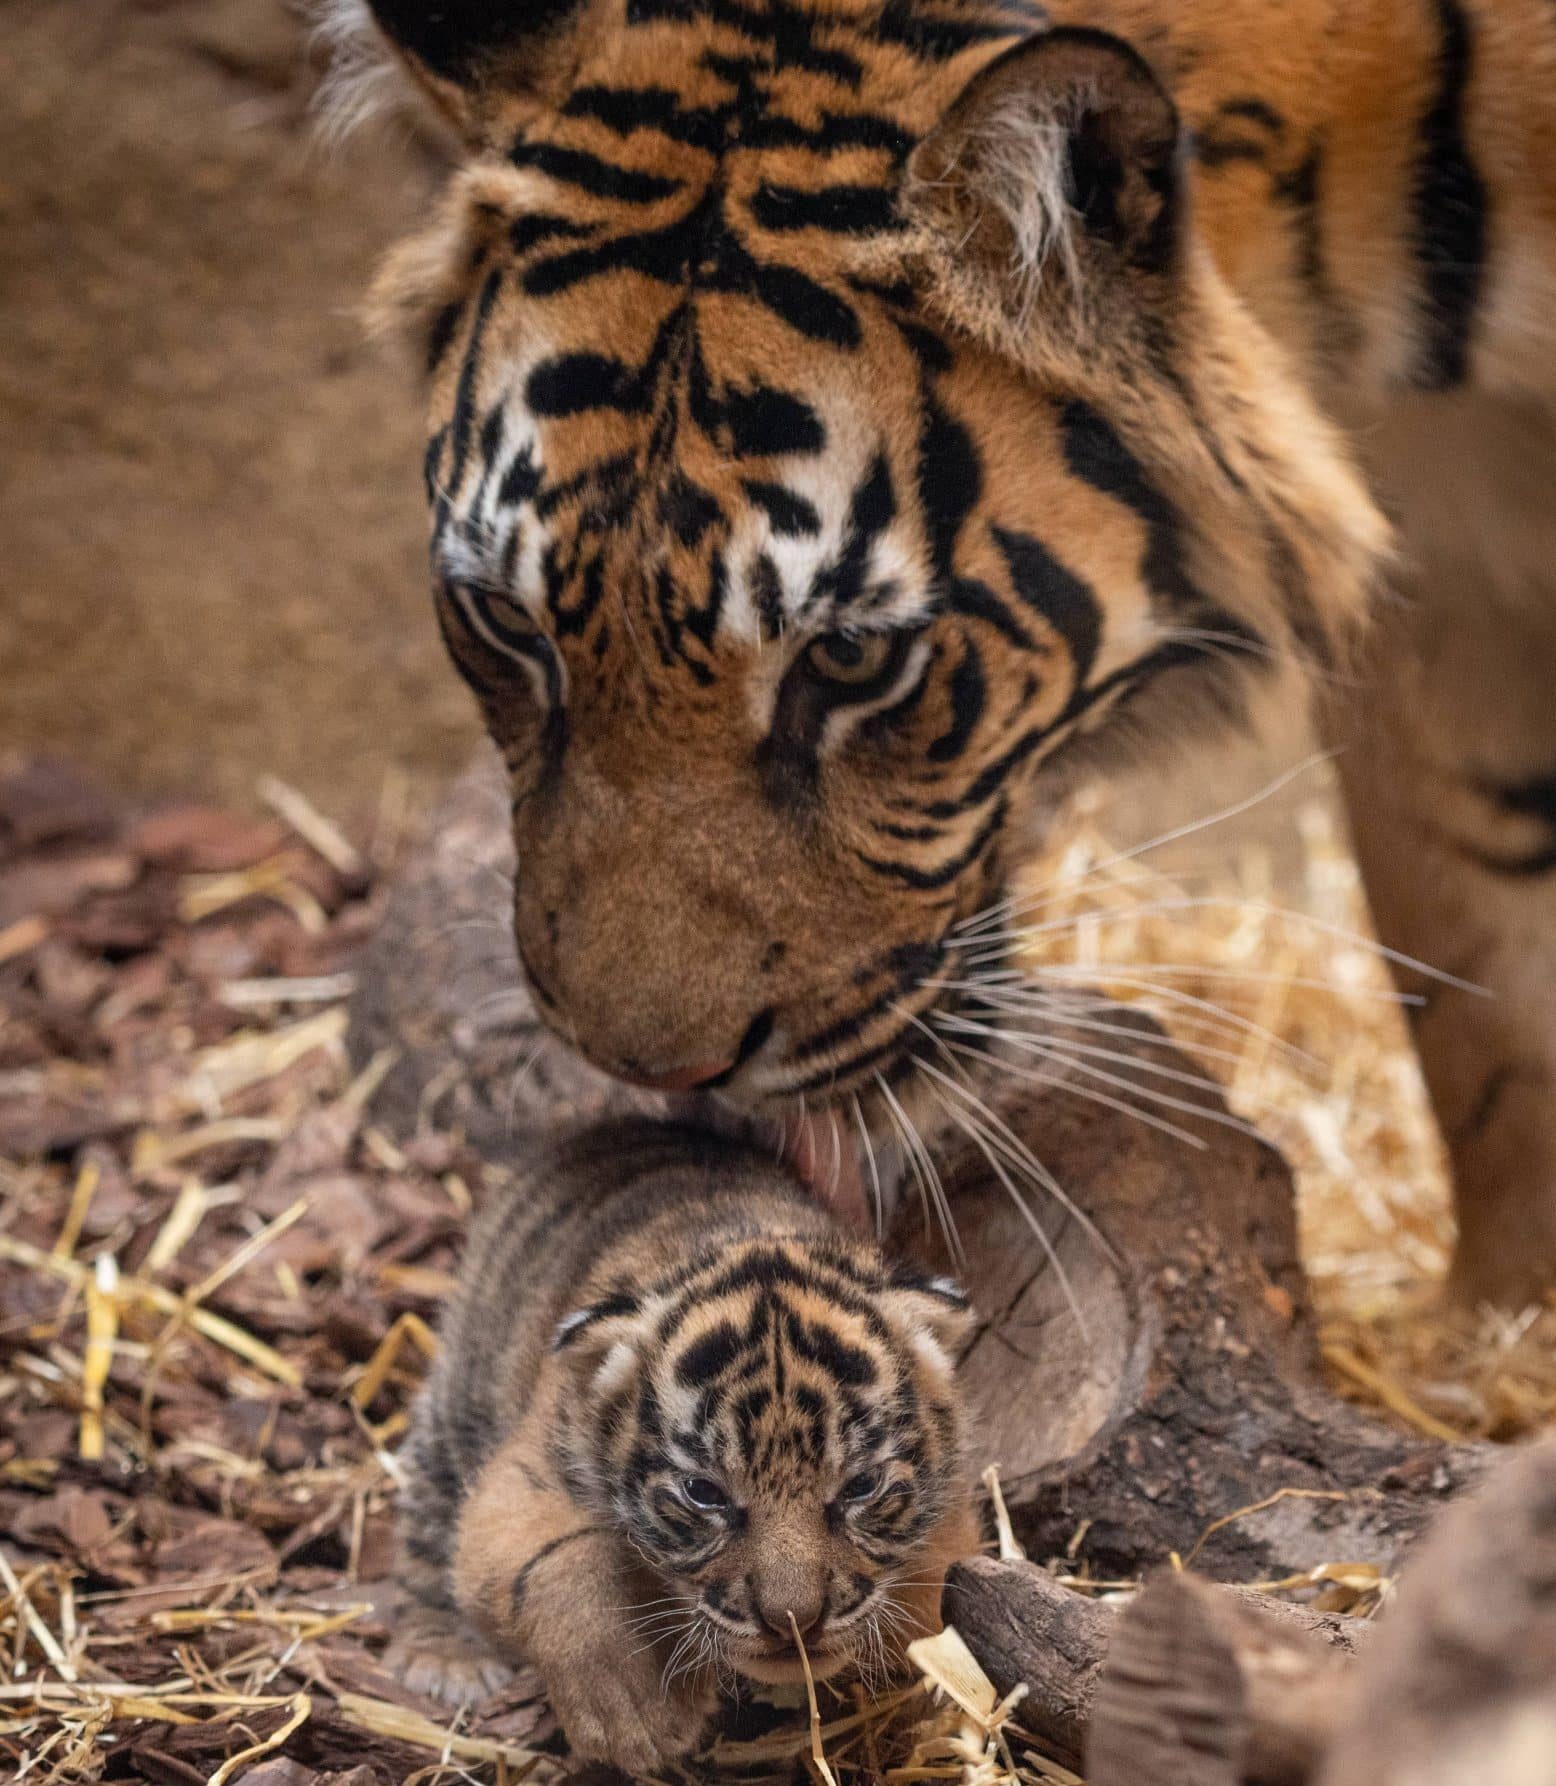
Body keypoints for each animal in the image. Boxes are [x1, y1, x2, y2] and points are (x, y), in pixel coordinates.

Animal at [325, 0, 1556, 1304]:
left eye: (849, 660)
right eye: (510, 627)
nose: (658, 1073)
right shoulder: (1454, 552)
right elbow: (1487, 978)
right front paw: (1500, 1318)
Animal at [389, 1117, 976, 1773]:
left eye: (861, 1487)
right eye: (704, 1493)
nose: (794, 1623)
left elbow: (931, 1587)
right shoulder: (522, 1476)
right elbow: (561, 1560)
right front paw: (636, 1704)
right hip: (454, 1409)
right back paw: (446, 1661)